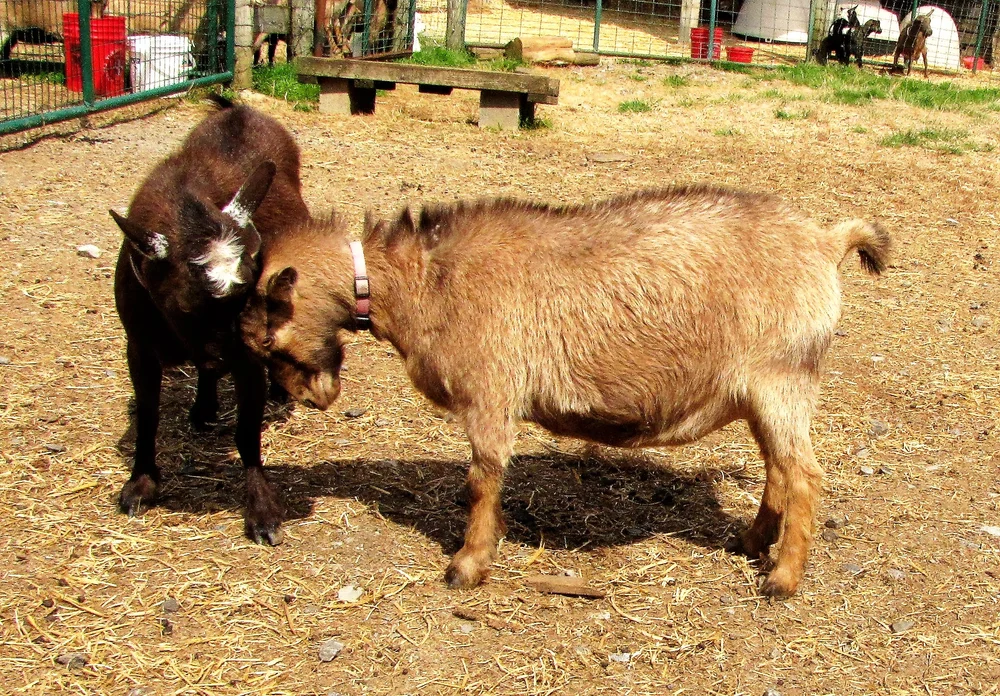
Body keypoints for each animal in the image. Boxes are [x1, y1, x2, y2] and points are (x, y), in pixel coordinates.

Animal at [110, 95, 310, 546]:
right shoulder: (140, 346)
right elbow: (148, 415)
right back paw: (204, 407)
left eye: (248, 295)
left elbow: (247, 432)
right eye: (186, 307)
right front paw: (141, 484)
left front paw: (261, 510)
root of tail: (240, 110)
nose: (234, 351)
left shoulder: (244, 355)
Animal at [241, 186, 891, 599]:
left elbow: (483, 477)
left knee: (804, 474)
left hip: (782, 378)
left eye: (268, 336)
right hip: (769, 393)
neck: (425, 280)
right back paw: (752, 540)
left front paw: (467, 565)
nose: (309, 397)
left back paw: (781, 580)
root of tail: (824, 239)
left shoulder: (490, 393)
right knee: (779, 467)